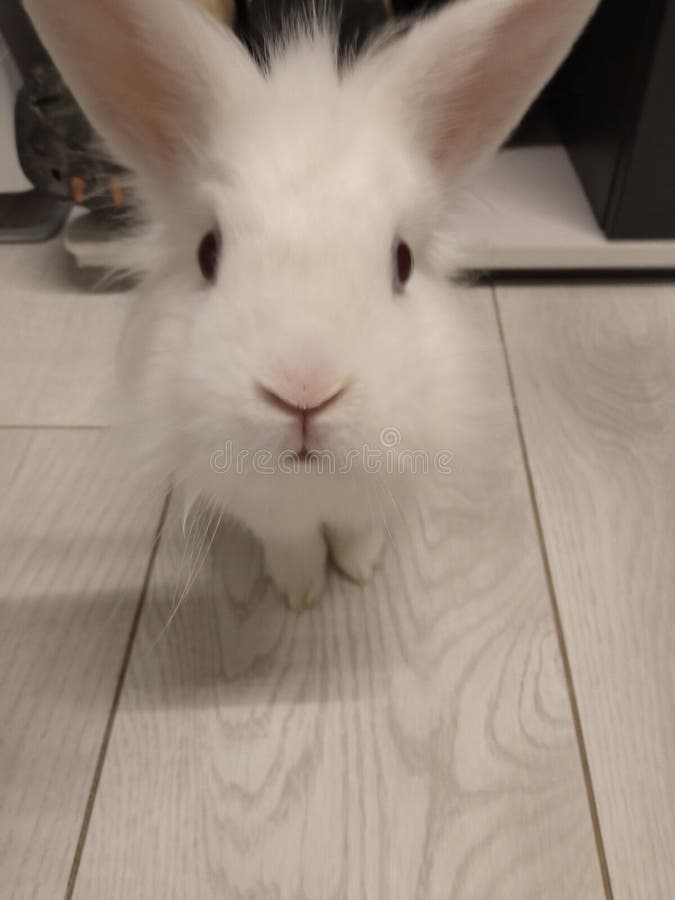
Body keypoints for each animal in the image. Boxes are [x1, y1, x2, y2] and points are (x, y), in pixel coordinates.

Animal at [24, 0, 599, 611]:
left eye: (402, 260)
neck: (313, 488)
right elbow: (291, 541)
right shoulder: (267, 510)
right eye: (208, 252)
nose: (304, 392)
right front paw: (300, 591)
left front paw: (360, 569)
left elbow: (357, 529)